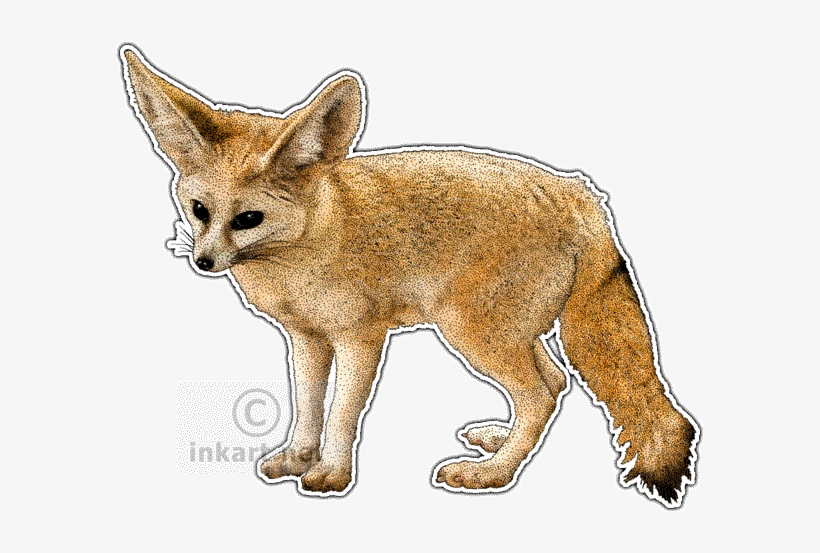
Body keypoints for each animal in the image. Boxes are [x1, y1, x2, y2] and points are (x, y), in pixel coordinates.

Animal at [120, 44, 700, 507]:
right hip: (508, 334)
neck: (314, 238)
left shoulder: (361, 337)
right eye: (200, 211)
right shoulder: (306, 338)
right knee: (555, 384)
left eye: (247, 219)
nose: (203, 261)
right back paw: (499, 443)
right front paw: (298, 457)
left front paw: (331, 473)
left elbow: (341, 412)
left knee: (539, 393)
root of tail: (574, 191)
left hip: (473, 335)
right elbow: (307, 406)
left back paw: (491, 474)